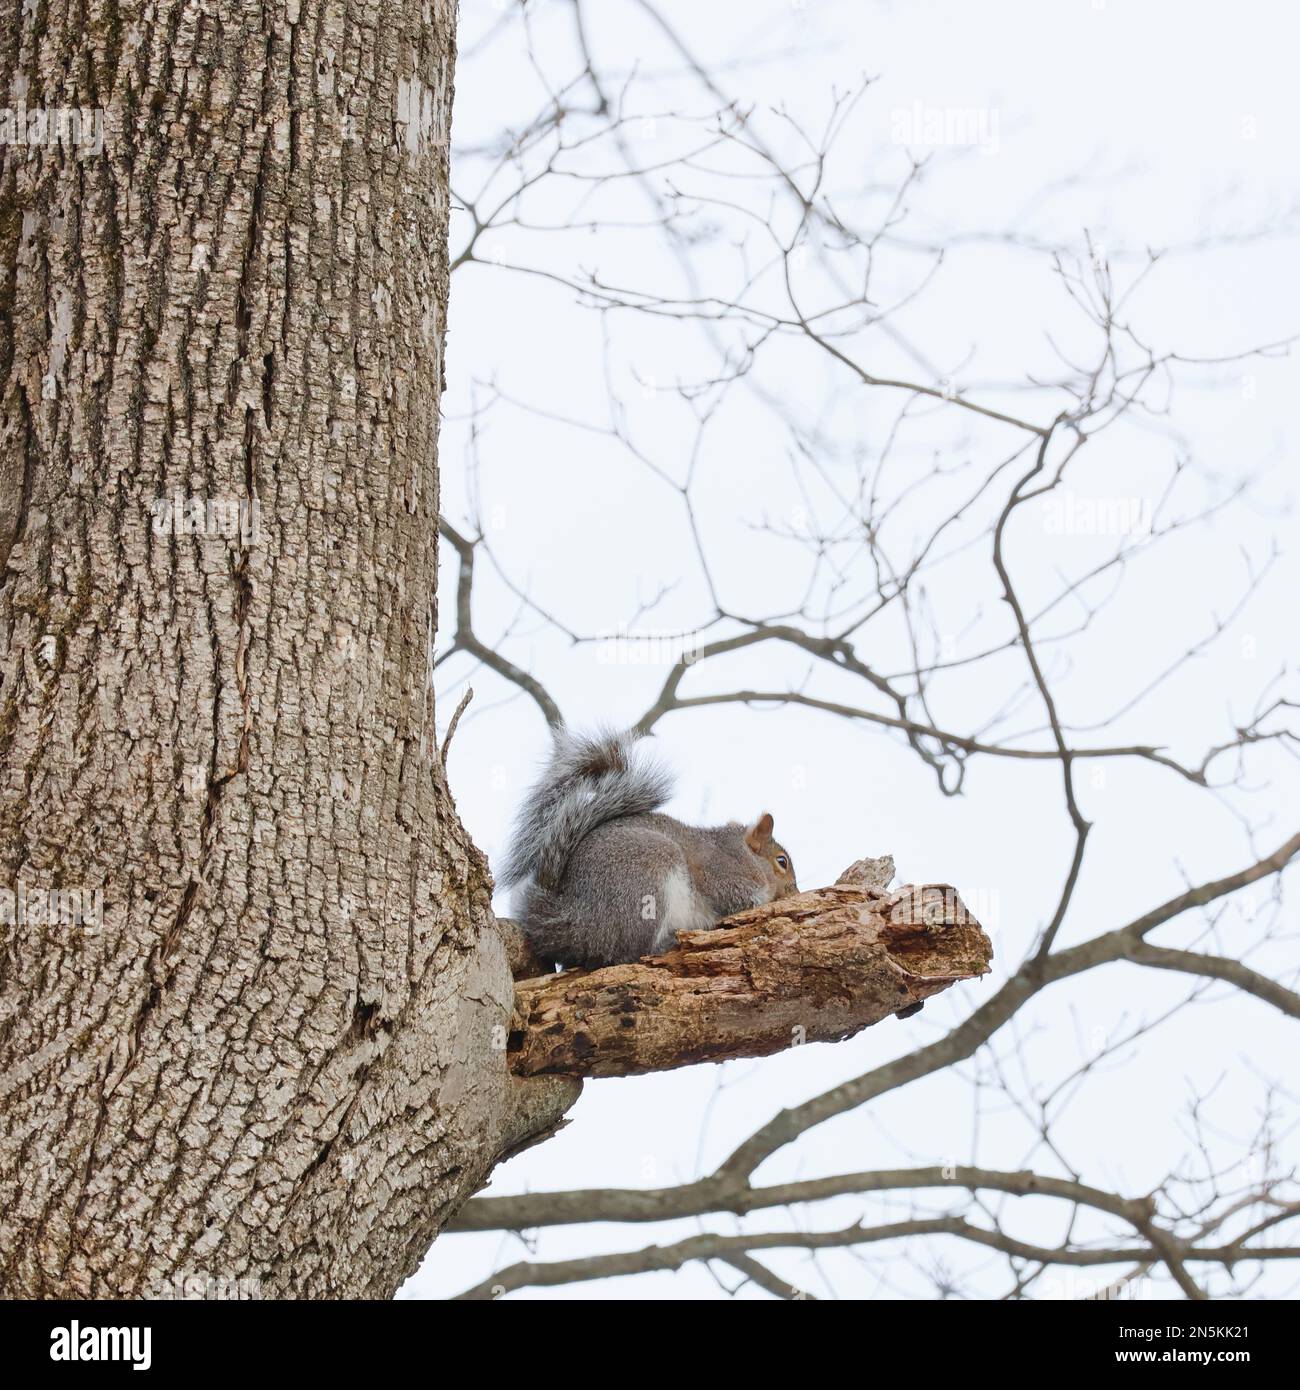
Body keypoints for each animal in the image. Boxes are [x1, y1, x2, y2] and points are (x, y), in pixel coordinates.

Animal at [498, 727, 799, 969]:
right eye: (782, 861)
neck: (742, 852)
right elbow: (738, 896)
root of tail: (573, 922)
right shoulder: (722, 872)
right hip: (648, 879)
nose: (795, 892)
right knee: (627, 954)